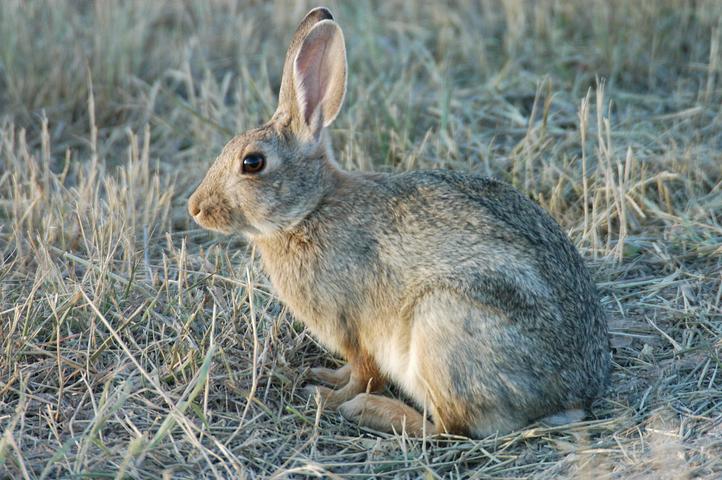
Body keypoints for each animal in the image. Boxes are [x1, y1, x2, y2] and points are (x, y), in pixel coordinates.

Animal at [188, 7, 610, 438]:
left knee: (446, 427)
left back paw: (370, 410)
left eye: (252, 163)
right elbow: (350, 370)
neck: (311, 209)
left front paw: (326, 397)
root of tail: (569, 398)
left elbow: (364, 373)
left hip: (440, 329)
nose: (195, 208)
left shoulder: (354, 326)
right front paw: (325, 376)